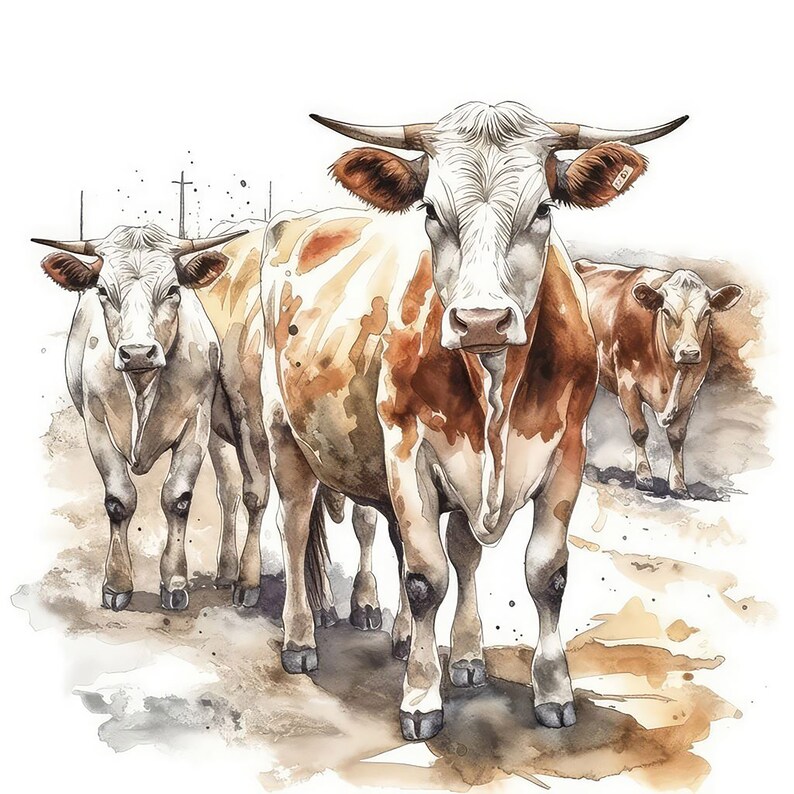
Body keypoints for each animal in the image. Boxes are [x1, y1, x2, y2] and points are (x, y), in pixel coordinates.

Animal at [34, 224, 249, 611]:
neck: (142, 385)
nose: (137, 352)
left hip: (218, 428)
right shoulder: (96, 424)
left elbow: (177, 498)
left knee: (229, 489)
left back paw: (227, 571)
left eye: (173, 290)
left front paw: (174, 582)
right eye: (103, 290)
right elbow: (119, 500)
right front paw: (117, 584)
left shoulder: (197, 422)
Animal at [258, 101, 687, 740]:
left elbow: (542, 572)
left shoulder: (567, 451)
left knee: (440, 546)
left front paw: (547, 690)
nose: (481, 319)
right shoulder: (406, 448)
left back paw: (433, 647)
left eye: (543, 209)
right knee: (293, 527)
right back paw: (301, 641)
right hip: (283, 431)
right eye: (432, 210)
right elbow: (424, 577)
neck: (495, 388)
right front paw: (420, 698)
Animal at [574, 260, 743, 497]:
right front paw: (644, 477)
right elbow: (639, 431)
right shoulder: (627, 384)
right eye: (667, 311)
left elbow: (677, 436)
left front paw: (678, 484)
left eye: (707, 311)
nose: (689, 352)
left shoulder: (692, 392)